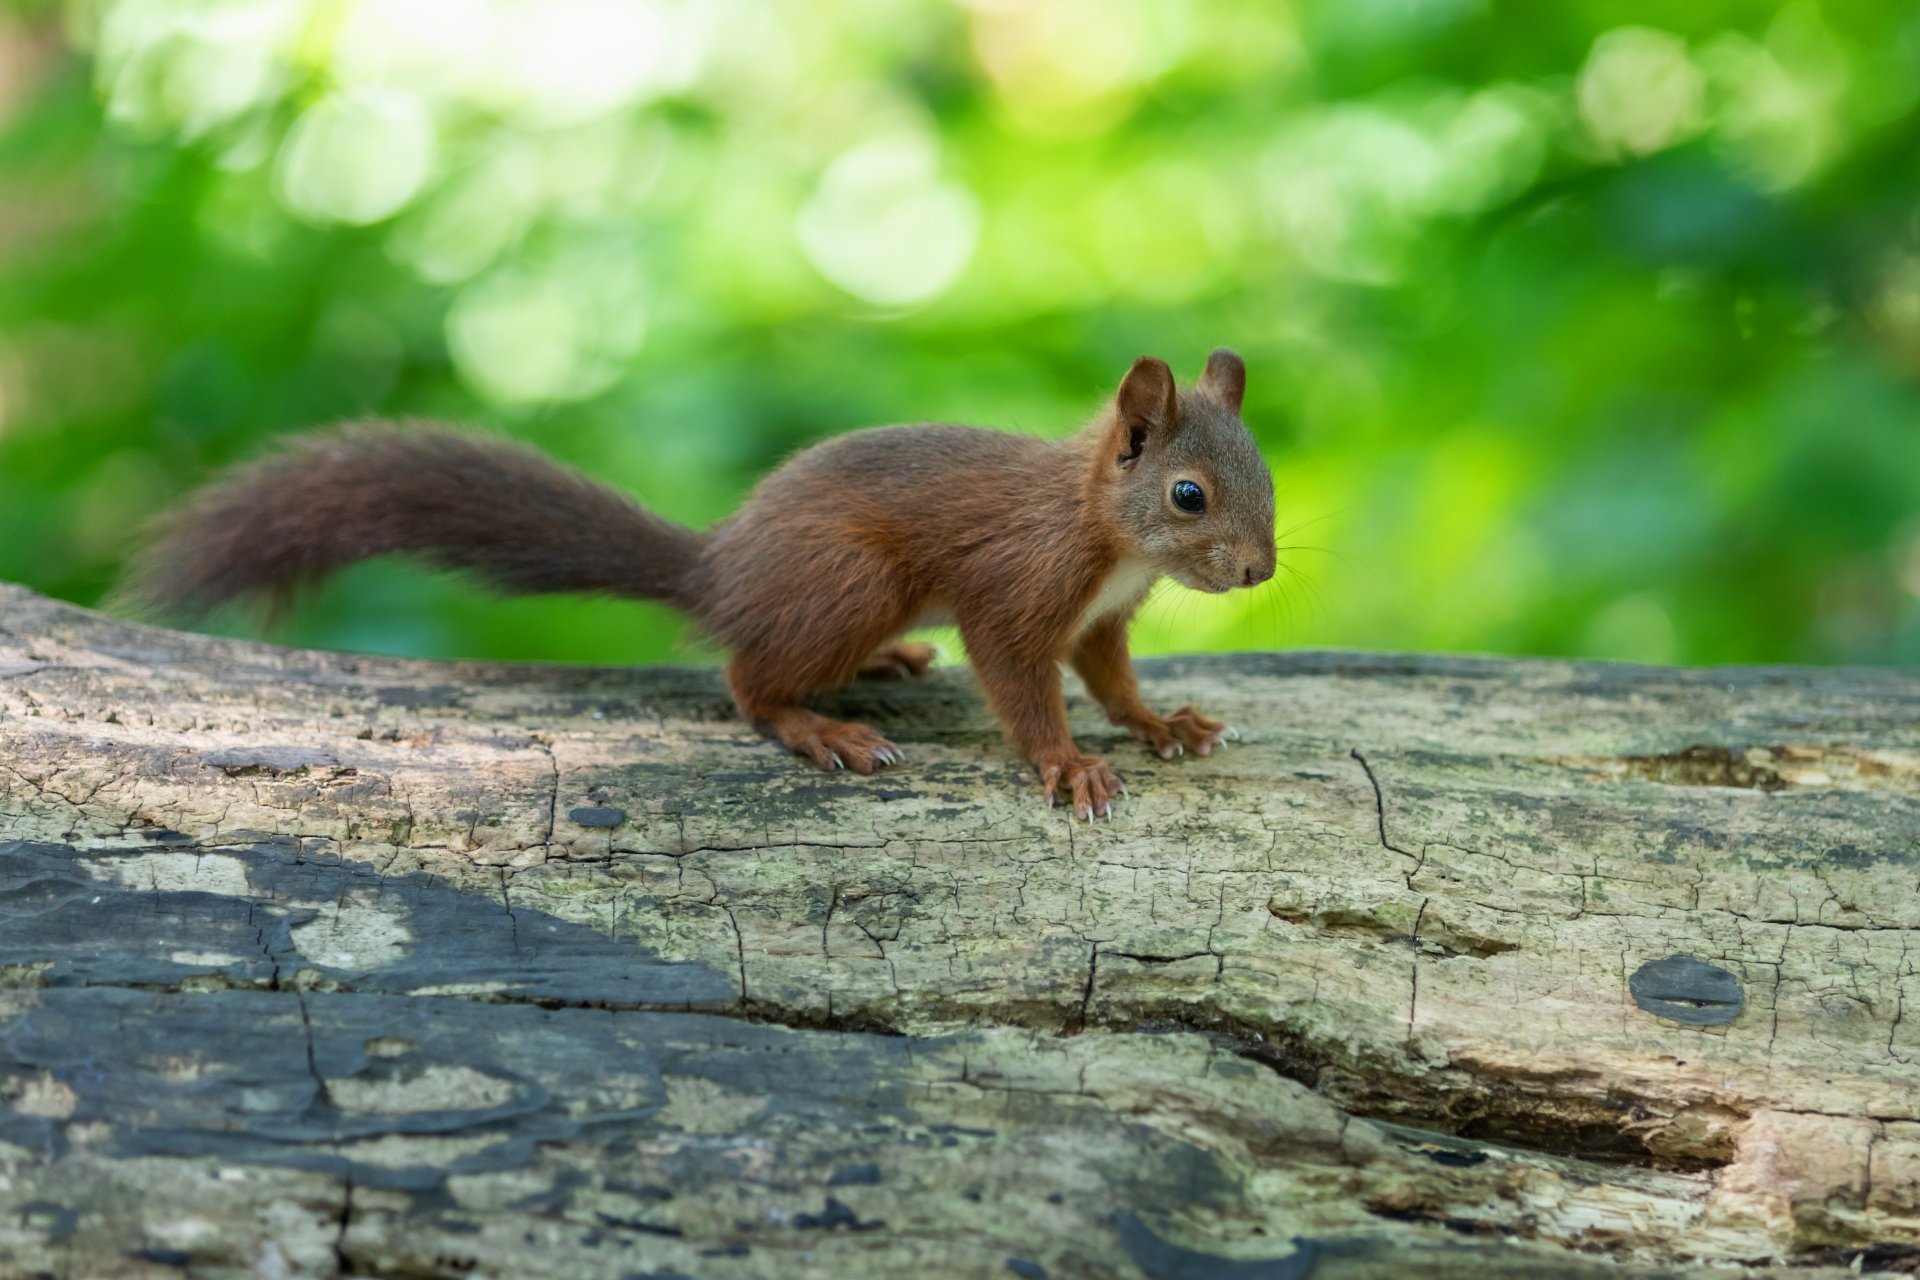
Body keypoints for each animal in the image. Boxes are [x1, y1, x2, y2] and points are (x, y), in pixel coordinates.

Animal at [125, 350, 1276, 819]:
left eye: (1262, 472)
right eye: (1187, 495)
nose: (1261, 569)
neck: (1106, 534)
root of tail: (719, 568)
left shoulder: (1101, 619)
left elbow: (1110, 677)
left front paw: (1161, 722)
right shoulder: (1016, 587)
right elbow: (1022, 684)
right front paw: (1069, 764)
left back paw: (891, 662)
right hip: (850, 578)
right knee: (744, 680)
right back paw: (820, 725)